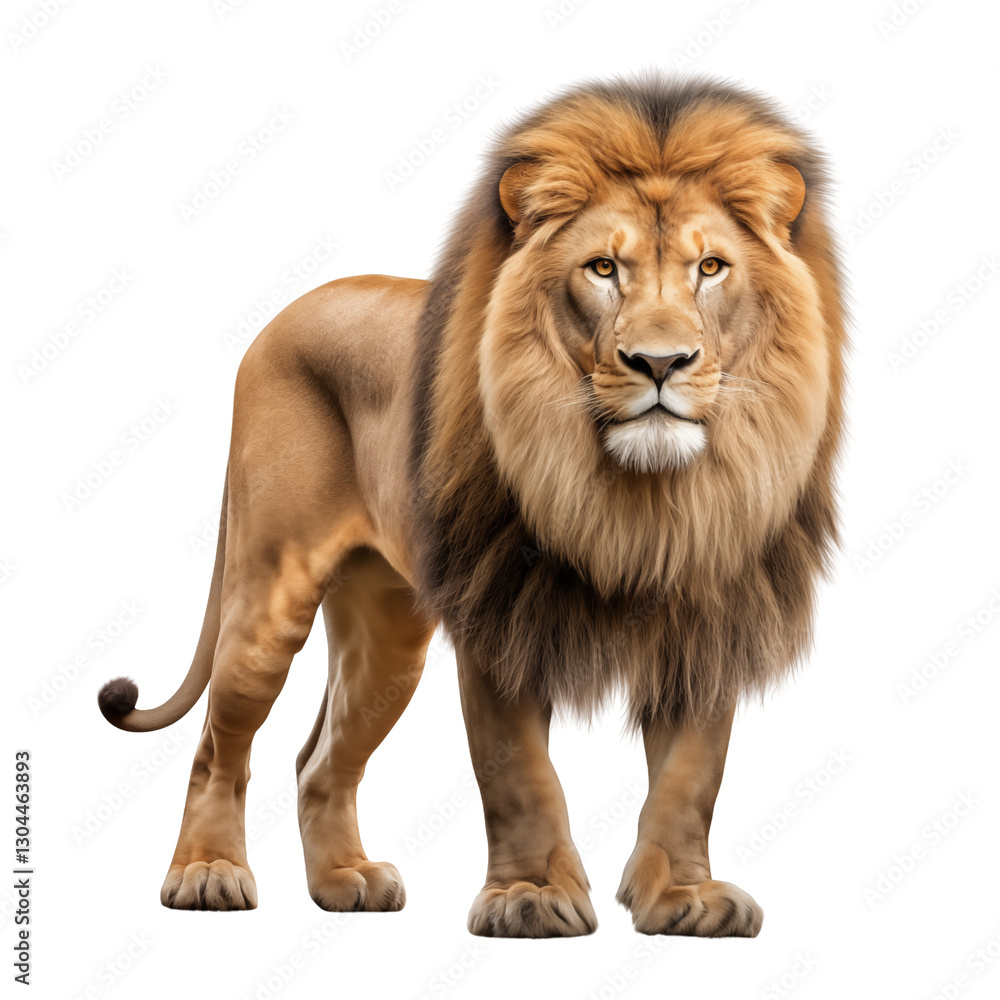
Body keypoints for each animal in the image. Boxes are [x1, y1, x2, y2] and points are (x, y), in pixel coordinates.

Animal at [98, 74, 846, 938]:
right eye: (602, 268)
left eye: (712, 267)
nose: (659, 363)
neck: (638, 496)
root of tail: (288, 313)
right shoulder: (500, 611)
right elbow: (517, 769)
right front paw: (530, 896)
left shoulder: (709, 620)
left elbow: (693, 776)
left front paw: (682, 898)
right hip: (268, 594)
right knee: (219, 743)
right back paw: (207, 874)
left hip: (388, 634)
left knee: (320, 758)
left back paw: (346, 881)